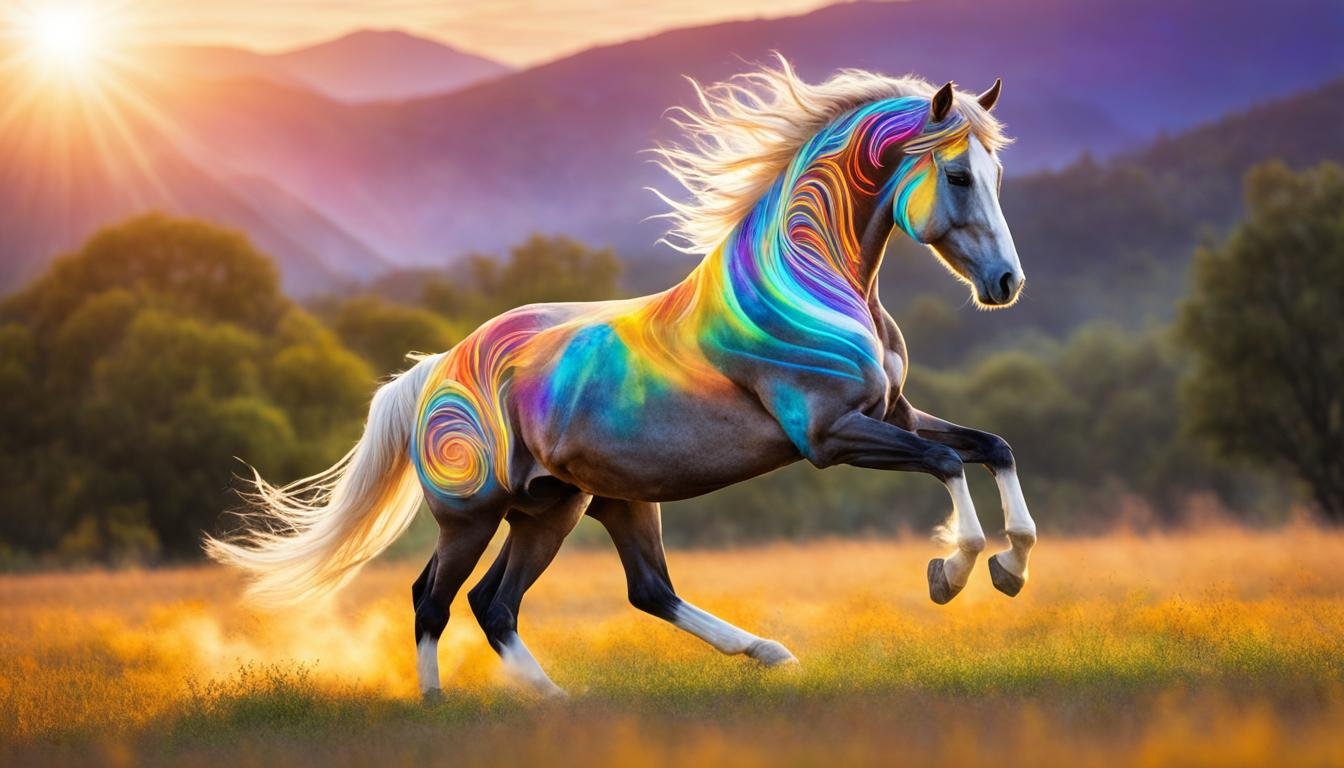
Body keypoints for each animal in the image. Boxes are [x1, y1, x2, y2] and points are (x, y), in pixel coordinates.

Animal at [206, 59, 1036, 698]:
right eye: (958, 175)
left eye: (997, 173)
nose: (1005, 283)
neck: (805, 279)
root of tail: (436, 370)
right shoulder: (830, 434)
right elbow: (946, 463)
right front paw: (950, 572)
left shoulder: (892, 412)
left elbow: (991, 447)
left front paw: (1010, 568)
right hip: (475, 516)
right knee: (435, 599)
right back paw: (445, 704)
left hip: (567, 508)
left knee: (562, 598)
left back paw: (689, 672)